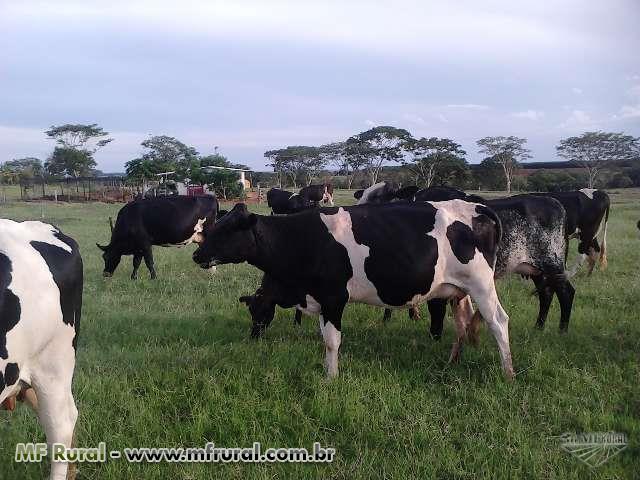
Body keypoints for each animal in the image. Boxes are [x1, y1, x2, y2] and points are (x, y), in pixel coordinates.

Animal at [193, 201, 515, 379]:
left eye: (226, 230)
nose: (196, 255)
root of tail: (476, 206)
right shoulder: (320, 301)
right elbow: (325, 339)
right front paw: (327, 371)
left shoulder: (333, 298)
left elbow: (332, 341)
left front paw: (331, 378)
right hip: (459, 290)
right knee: (463, 324)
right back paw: (452, 362)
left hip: (482, 285)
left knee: (499, 322)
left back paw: (508, 373)